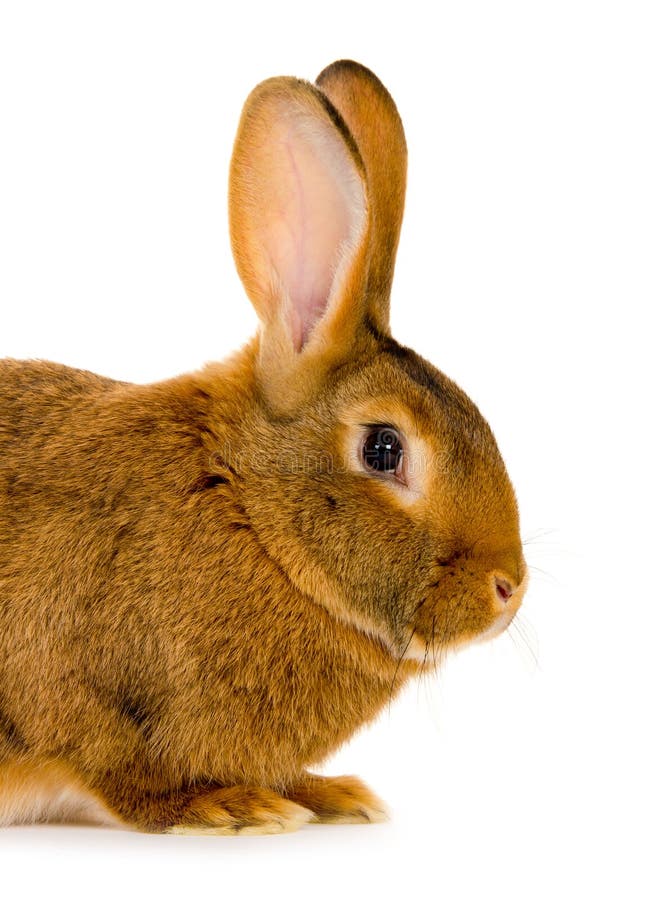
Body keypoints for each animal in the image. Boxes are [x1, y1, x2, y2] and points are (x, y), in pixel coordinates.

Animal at [0, 60, 527, 835]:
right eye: (384, 449)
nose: (508, 588)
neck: (249, 509)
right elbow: (123, 776)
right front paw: (228, 806)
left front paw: (329, 794)